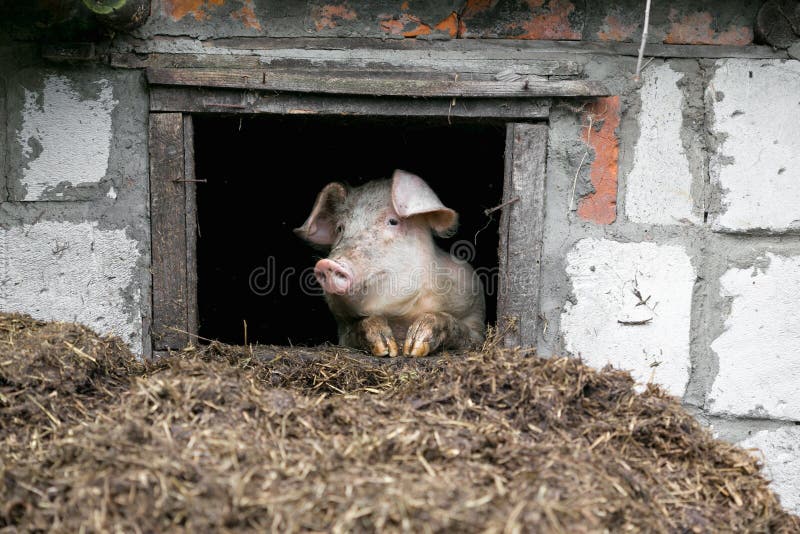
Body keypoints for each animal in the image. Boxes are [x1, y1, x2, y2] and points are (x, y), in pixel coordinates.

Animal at [295, 169, 485, 357]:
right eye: (340, 228)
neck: (400, 316)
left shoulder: (474, 310)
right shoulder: (343, 330)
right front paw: (386, 347)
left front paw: (413, 348)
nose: (327, 264)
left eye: (393, 221)